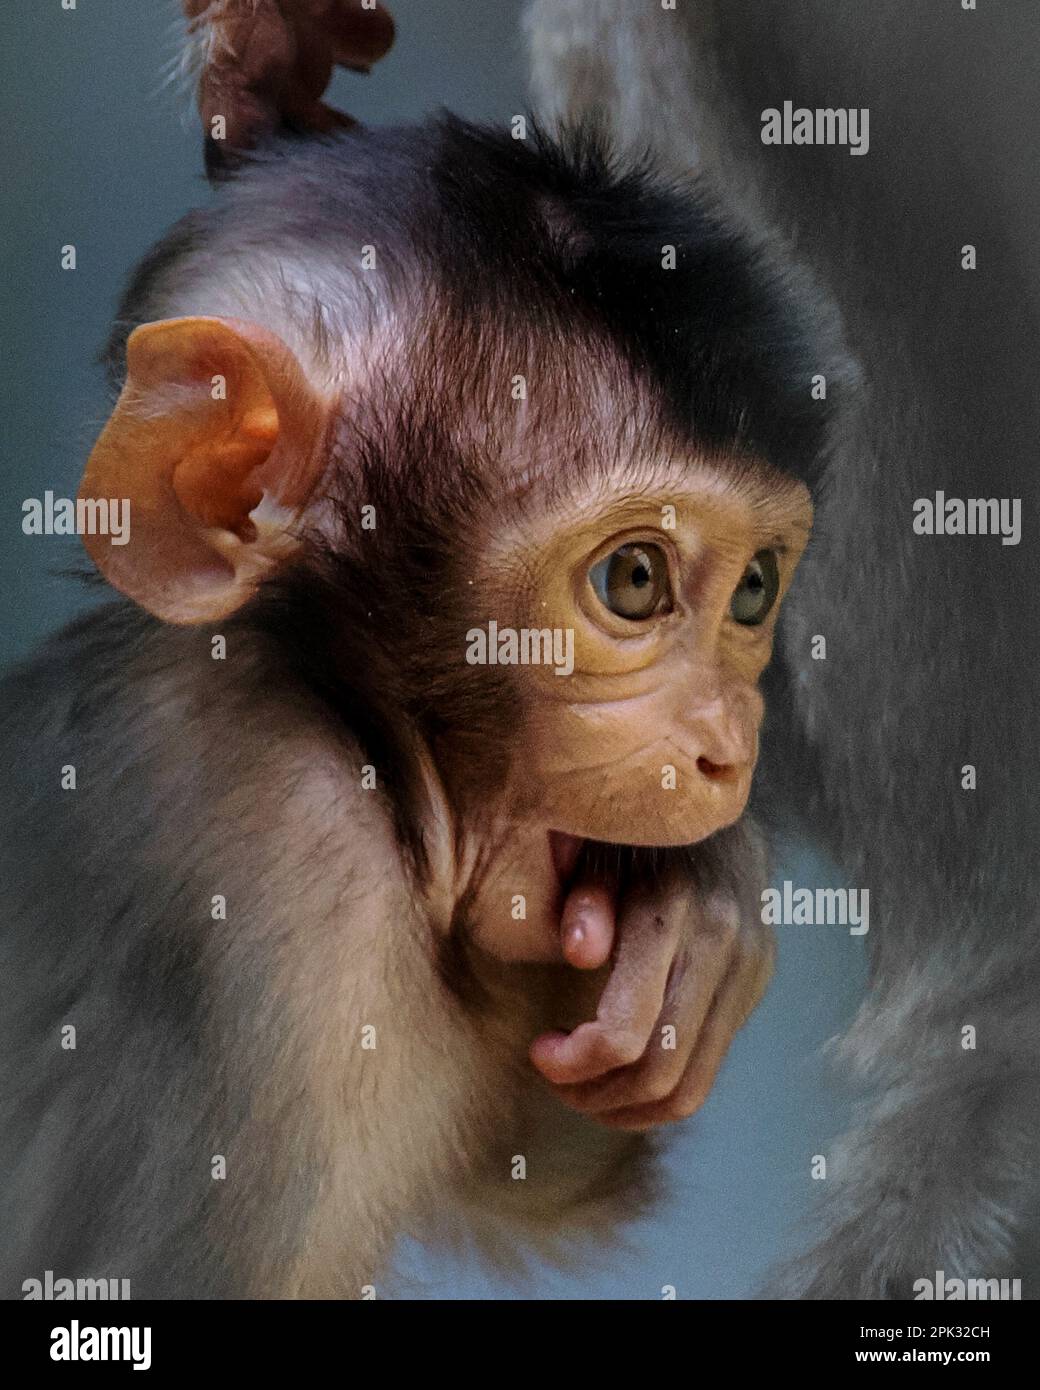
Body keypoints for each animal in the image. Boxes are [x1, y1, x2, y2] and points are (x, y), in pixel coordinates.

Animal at [0, 2, 846, 1298]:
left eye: (752, 589)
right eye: (633, 579)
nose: (725, 750)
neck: (348, 727)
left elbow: (528, 1170)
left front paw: (696, 926)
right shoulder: (264, 870)